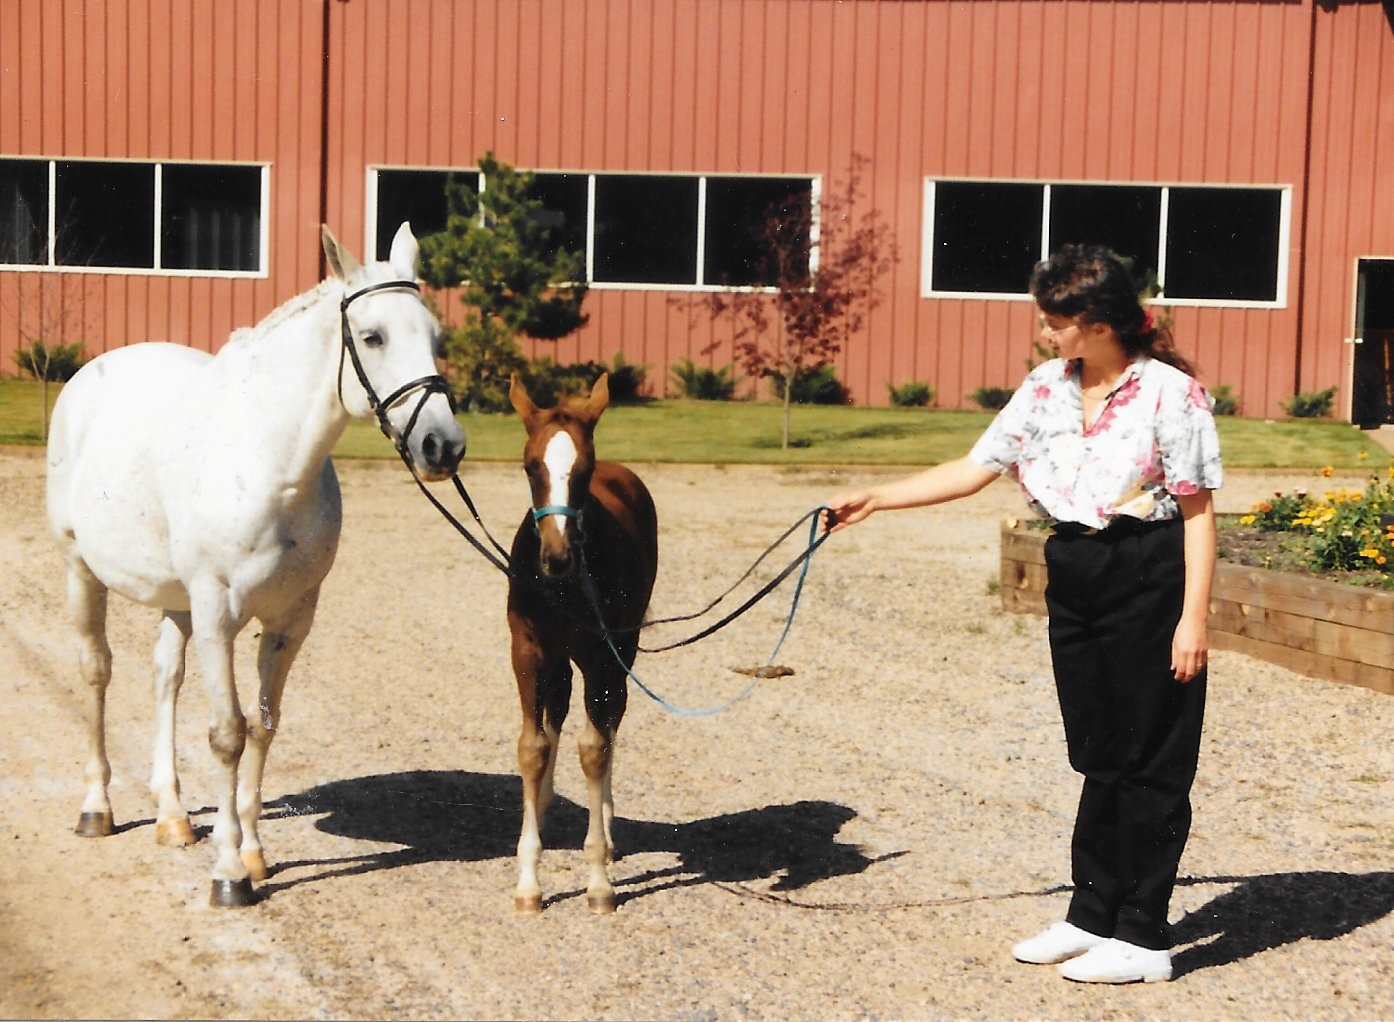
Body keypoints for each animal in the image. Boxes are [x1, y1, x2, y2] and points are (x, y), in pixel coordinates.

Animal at [44, 222, 465, 907]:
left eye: (435, 337)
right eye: (372, 336)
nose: (442, 446)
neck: (269, 462)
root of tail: (94, 372)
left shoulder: (293, 618)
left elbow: (264, 728)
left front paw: (254, 852)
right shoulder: (217, 612)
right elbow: (228, 734)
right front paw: (228, 874)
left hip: (178, 601)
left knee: (164, 677)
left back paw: (172, 816)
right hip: (83, 570)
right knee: (97, 673)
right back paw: (96, 808)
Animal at [506, 371, 658, 913]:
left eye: (584, 469)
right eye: (530, 466)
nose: (556, 556)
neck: (563, 587)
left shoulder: (600, 656)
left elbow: (595, 748)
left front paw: (598, 881)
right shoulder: (528, 652)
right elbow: (532, 747)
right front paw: (528, 882)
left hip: (623, 648)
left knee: (611, 723)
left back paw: (608, 838)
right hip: (559, 659)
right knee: (557, 714)